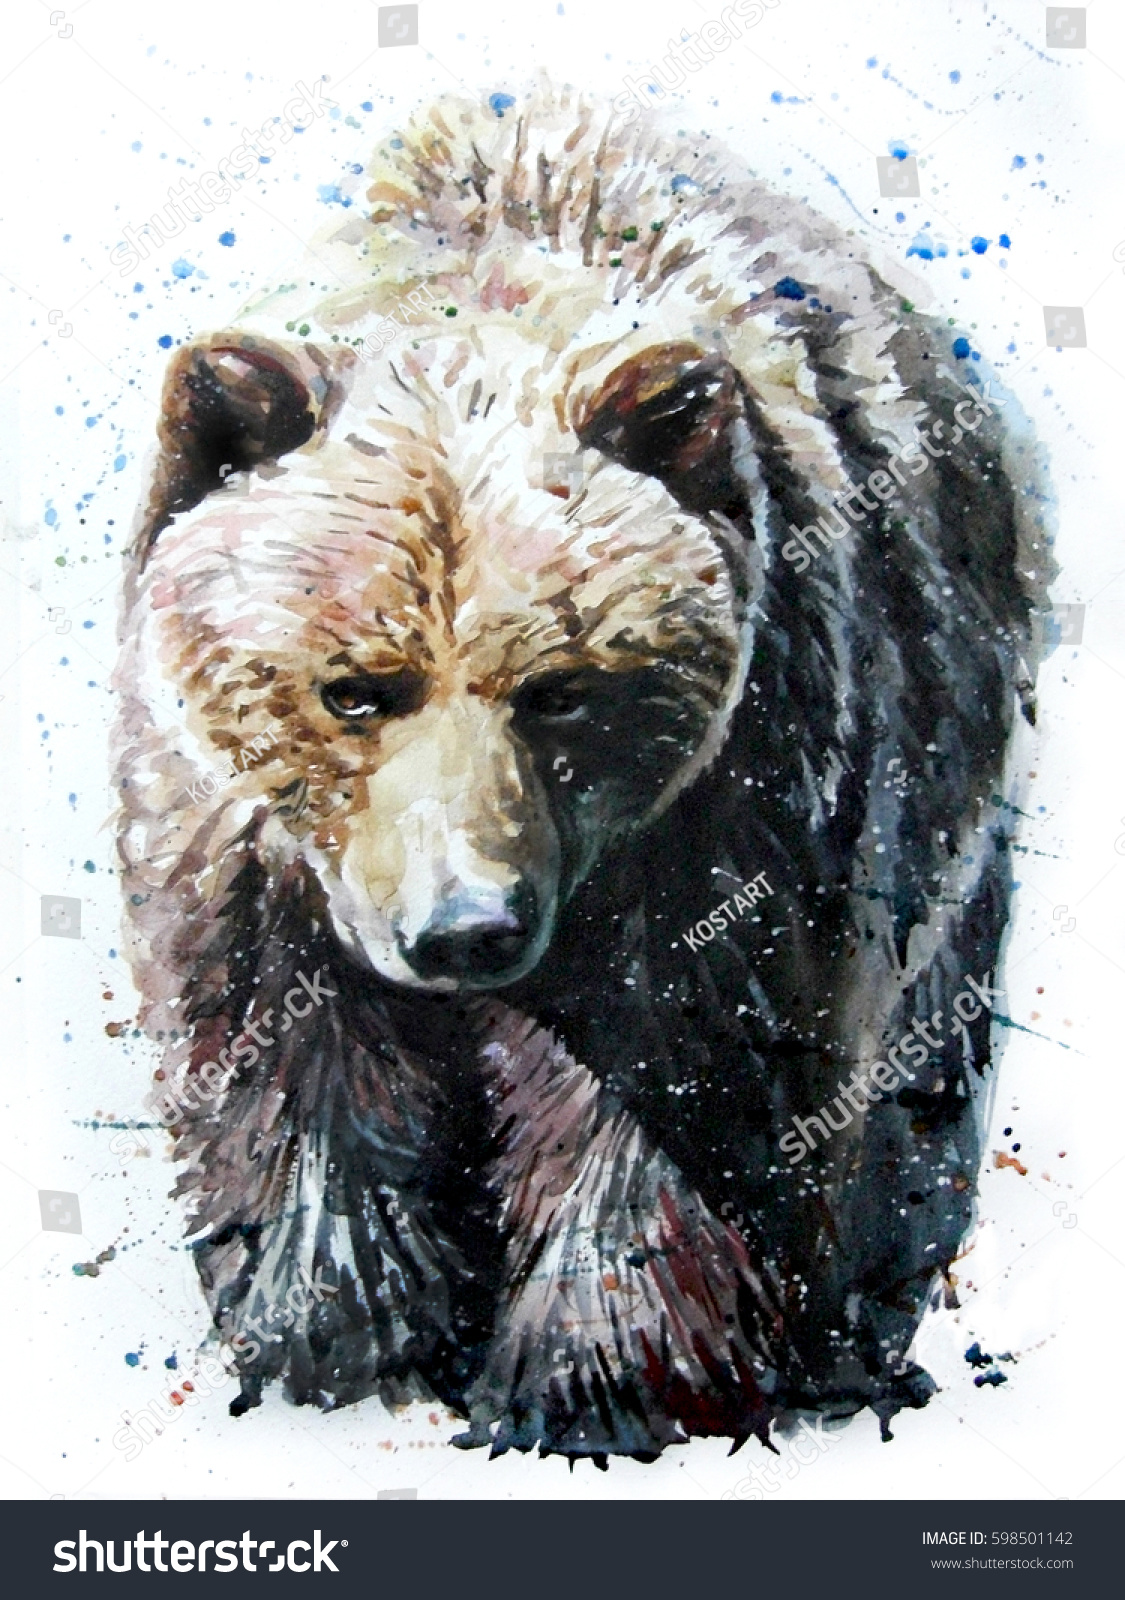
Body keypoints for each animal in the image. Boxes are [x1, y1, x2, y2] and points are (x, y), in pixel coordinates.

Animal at [112, 81, 1052, 1464]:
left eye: (561, 686)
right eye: (355, 686)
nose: (466, 929)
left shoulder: (735, 821)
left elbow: (677, 1105)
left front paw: (594, 1377)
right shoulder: (246, 859)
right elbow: (295, 1095)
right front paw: (333, 1338)